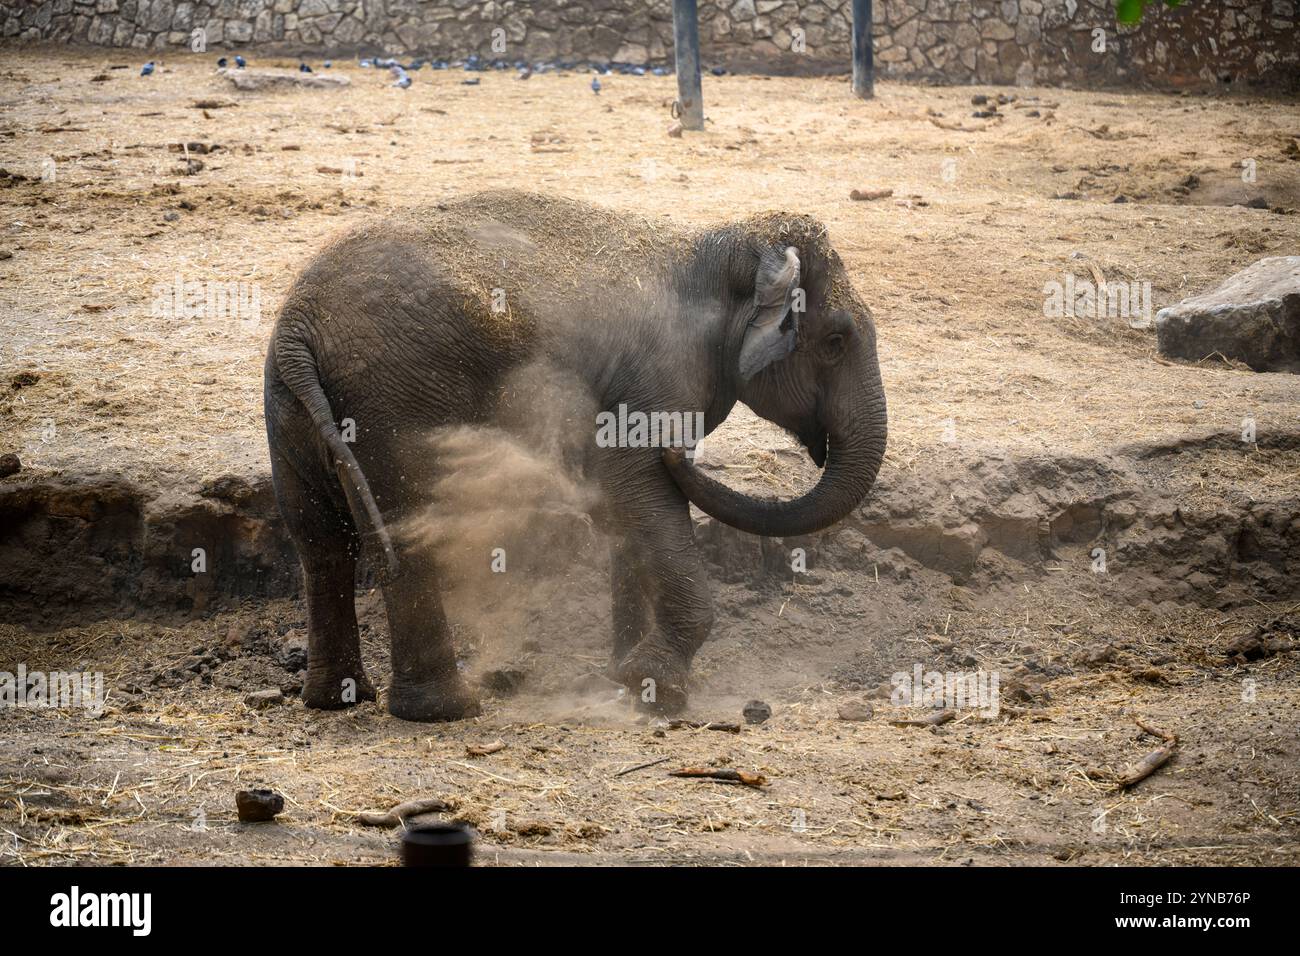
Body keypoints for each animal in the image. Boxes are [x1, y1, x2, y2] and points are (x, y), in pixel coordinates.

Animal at [263, 190, 887, 721]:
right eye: (836, 341)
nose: (680, 452)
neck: (719, 247)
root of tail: (298, 327)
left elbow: (622, 506)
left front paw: (624, 676)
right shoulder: (653, 383)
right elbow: (641, 491)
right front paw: (654, 687)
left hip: (291, 411)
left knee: (320, 540)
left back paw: (336, 698)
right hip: (394, 400)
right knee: (403, 530)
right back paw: (447, 710)